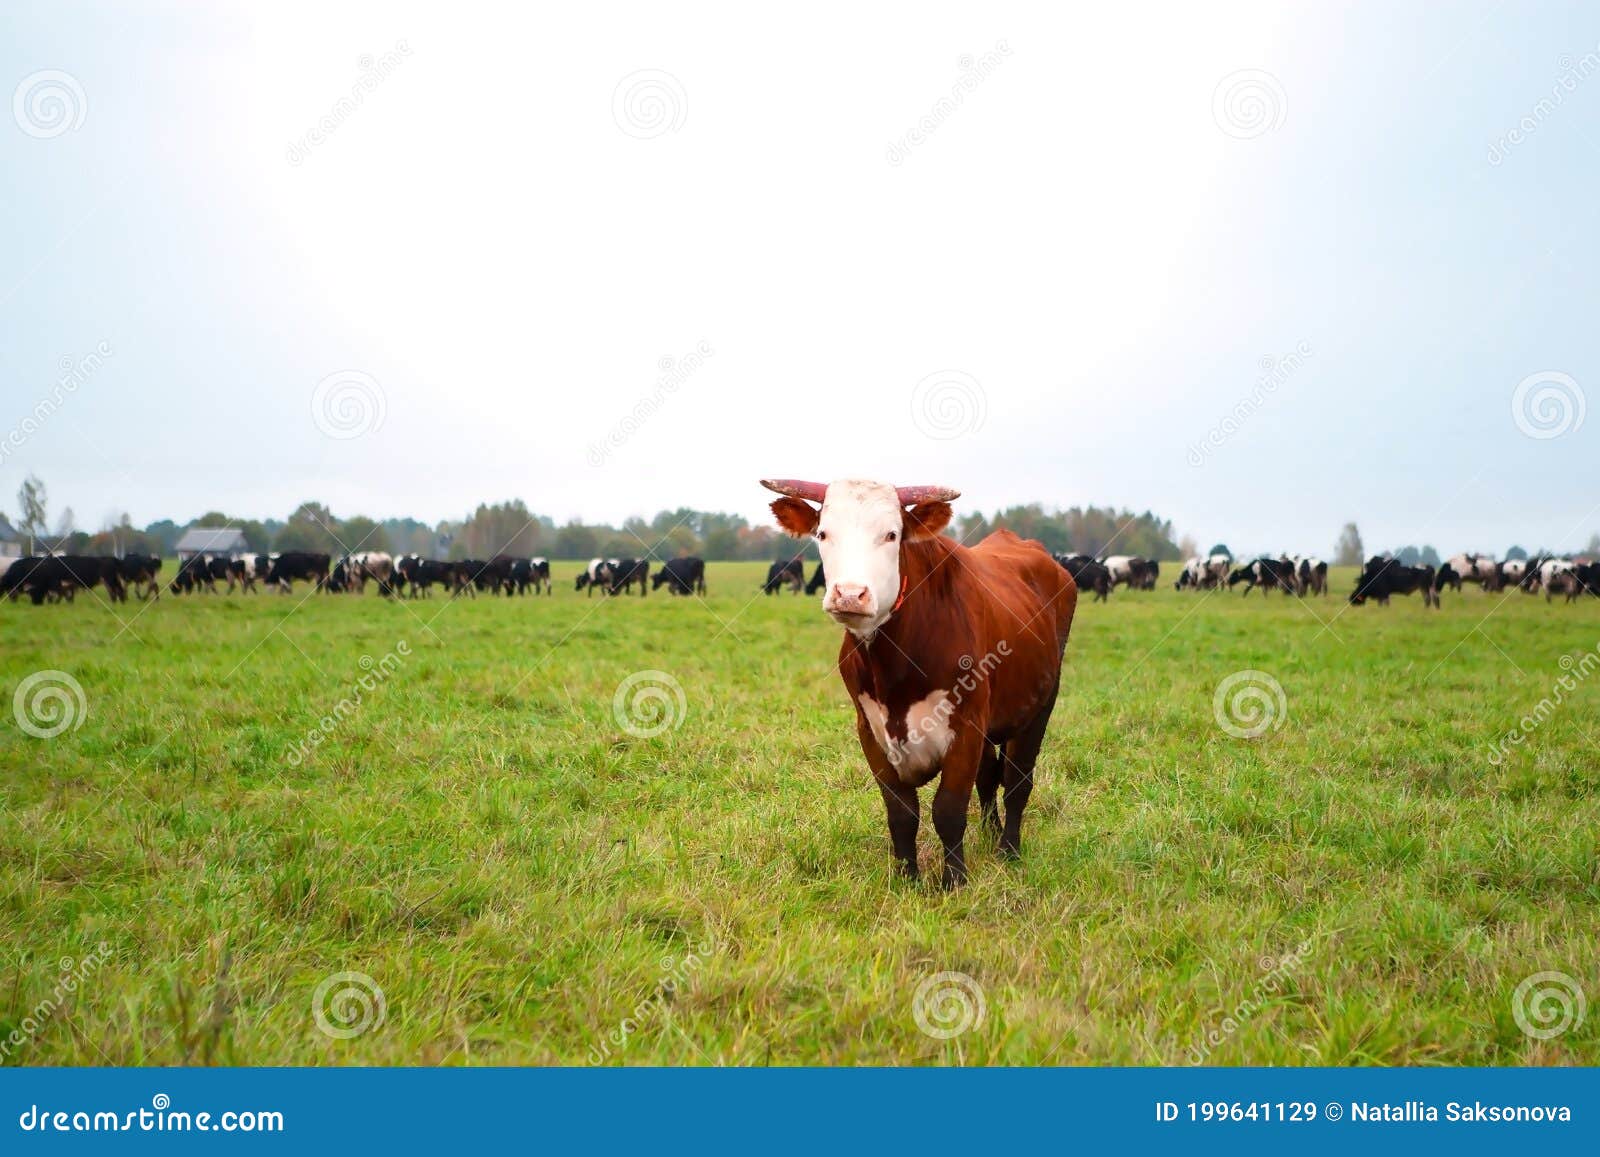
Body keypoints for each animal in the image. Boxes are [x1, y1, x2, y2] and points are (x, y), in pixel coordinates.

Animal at [764, 478, 1077, 889]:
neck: (894, 667)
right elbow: (902, 810)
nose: (850, 594)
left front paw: (954, 881)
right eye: (823, 533)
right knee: (989, 779)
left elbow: (948, 809)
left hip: (1039, 707)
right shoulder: (871, 730)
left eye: (891, 534)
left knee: (1017, 782)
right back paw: (990, 834)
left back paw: (1008, 849)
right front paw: (906, 877)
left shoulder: (966, 726)